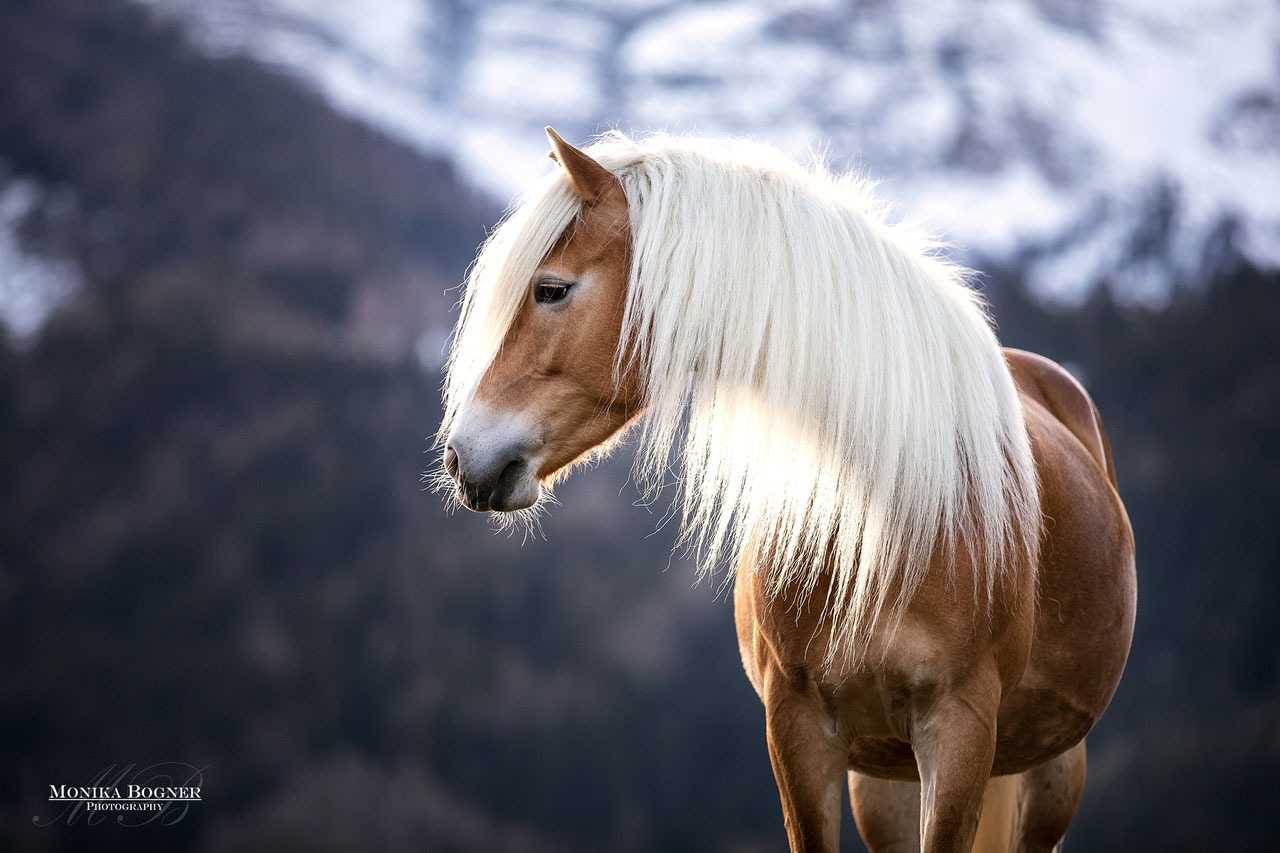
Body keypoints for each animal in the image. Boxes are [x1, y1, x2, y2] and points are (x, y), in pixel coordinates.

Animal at [439, 127, 1136, 853]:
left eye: (550, 289)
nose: (465, 456)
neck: (886, 515)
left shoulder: (961, 727)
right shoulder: (797, 723)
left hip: (1050, 770)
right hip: (885, 781)